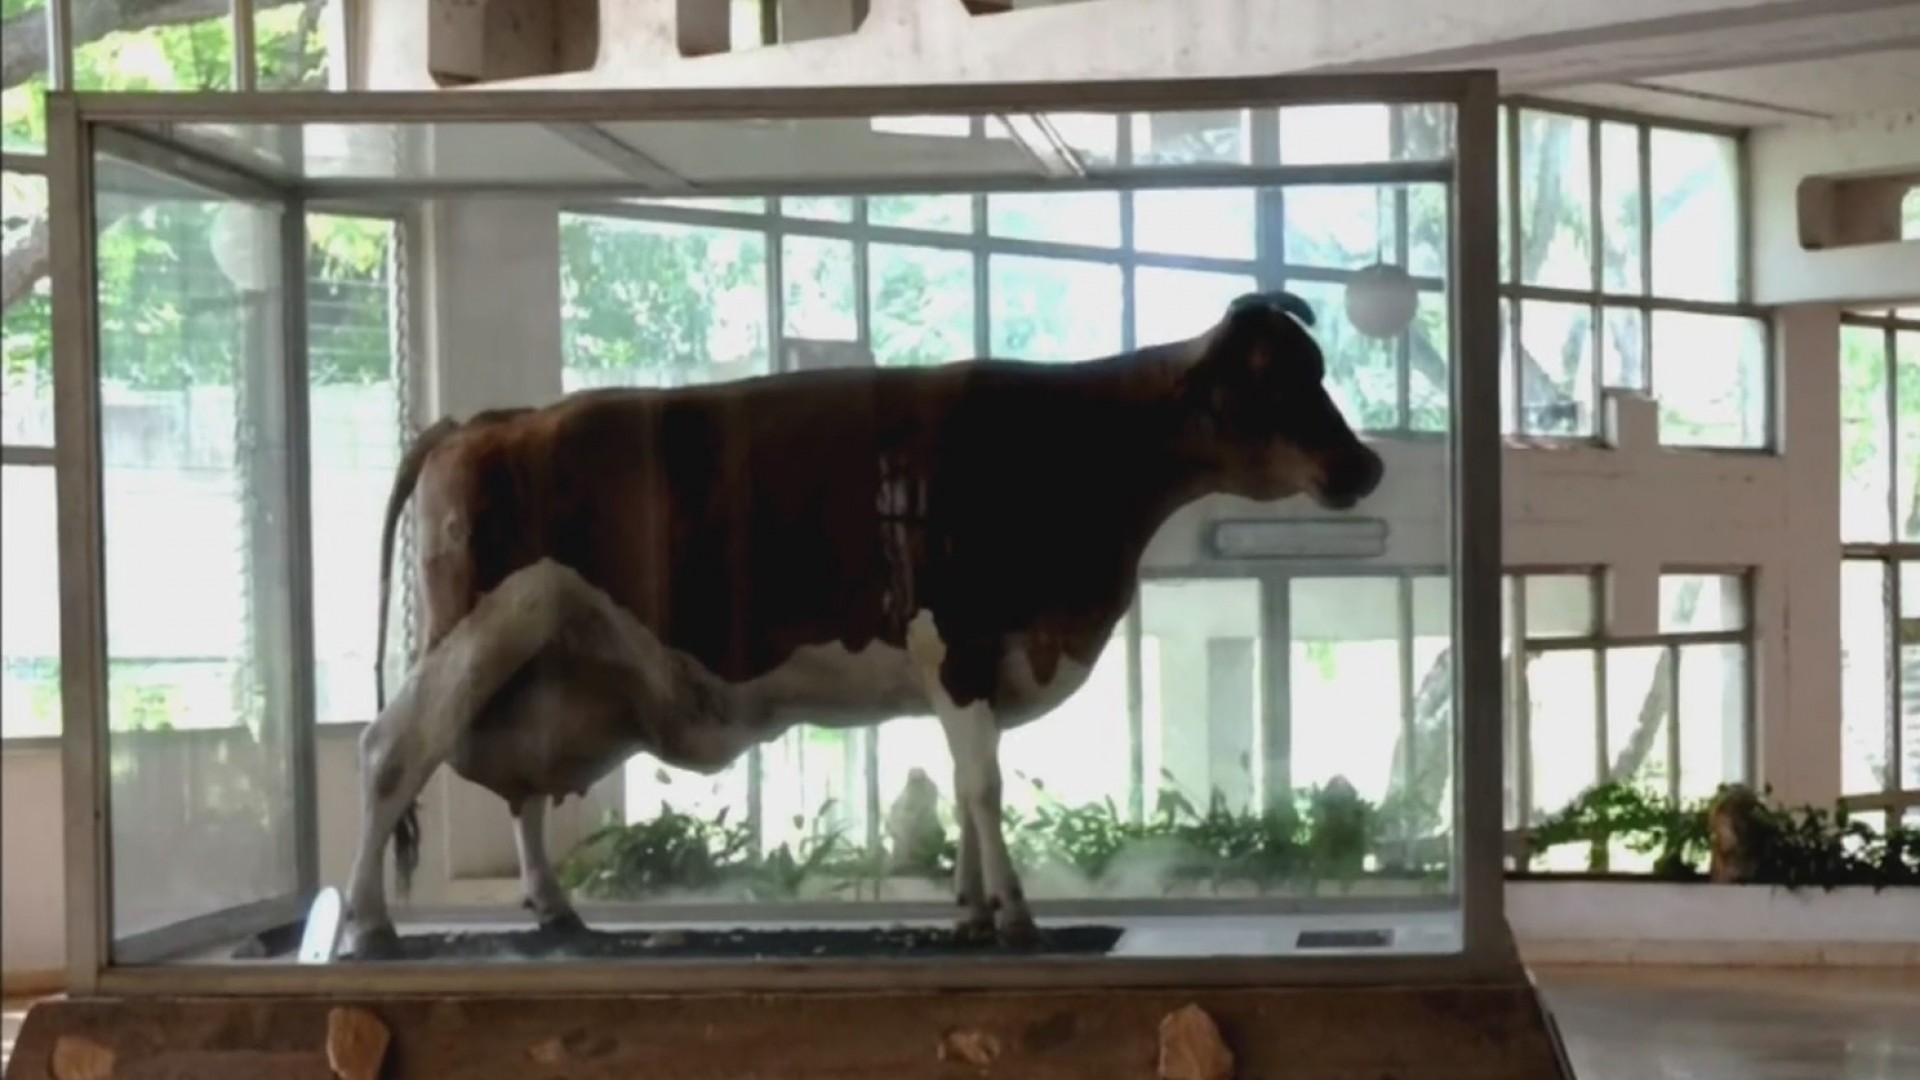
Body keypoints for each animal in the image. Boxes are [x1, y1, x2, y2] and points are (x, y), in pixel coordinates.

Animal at [343, 290, 1385, 958]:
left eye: (1318, 371)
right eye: (1274, 383)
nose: (1366, 465)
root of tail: (483, 420)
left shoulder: (977, 664)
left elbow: (967, 785)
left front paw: (970, 910)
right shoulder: (958, 641)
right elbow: (985, 787)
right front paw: (1013, 915)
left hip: (539, 661)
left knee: (518, 787)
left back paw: (556, 909)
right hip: (475, 630)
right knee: (394, 749)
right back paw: (367, 923)